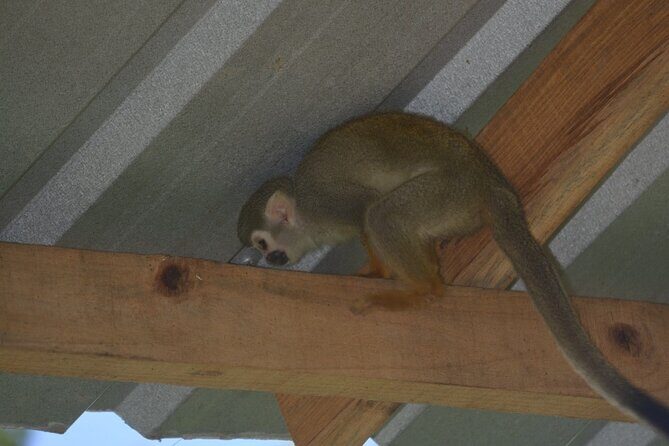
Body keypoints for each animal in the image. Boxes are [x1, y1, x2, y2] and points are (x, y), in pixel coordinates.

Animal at [237, 112, 669, 436]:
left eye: (262, 243)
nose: (270, 260)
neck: (306, 216)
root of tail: (491, 182)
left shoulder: (326, 204)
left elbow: (365, 211)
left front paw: (378, 271)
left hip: (446, 190)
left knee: (384, 213)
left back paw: (420, 287)